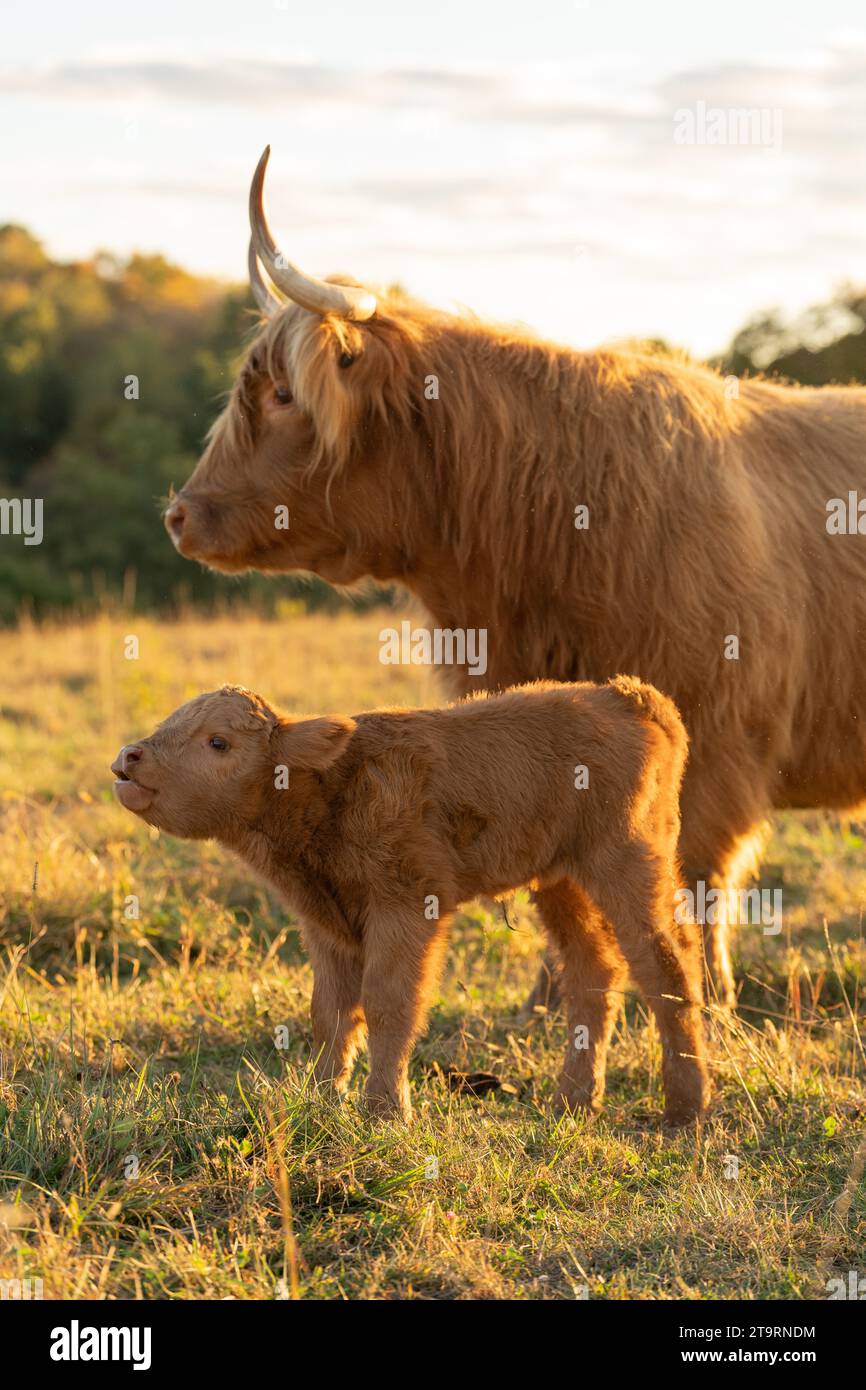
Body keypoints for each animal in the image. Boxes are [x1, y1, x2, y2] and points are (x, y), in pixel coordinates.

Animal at [165, 146, 866, 1013]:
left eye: (285, 393)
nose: (181, 515)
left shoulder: (722, 739)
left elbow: (697, 876)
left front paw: (709, 1000)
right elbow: (559, 880)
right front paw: (552, 999)